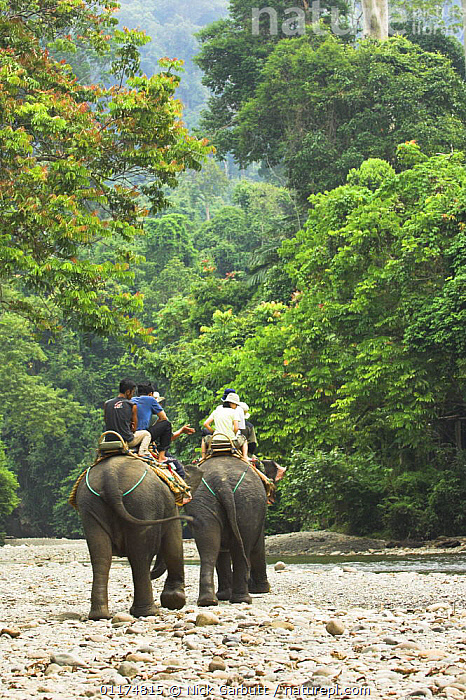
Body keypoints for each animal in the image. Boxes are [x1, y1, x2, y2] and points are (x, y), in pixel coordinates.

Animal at [75, 454, 187, 620]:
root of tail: (110, 477)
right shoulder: (172, 508)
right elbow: (174, 543)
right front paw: (174, 601)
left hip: (89, 503)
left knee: (101, 555)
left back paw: (99, 615)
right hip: (143, 502)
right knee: (140, 554)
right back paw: (148, 612)